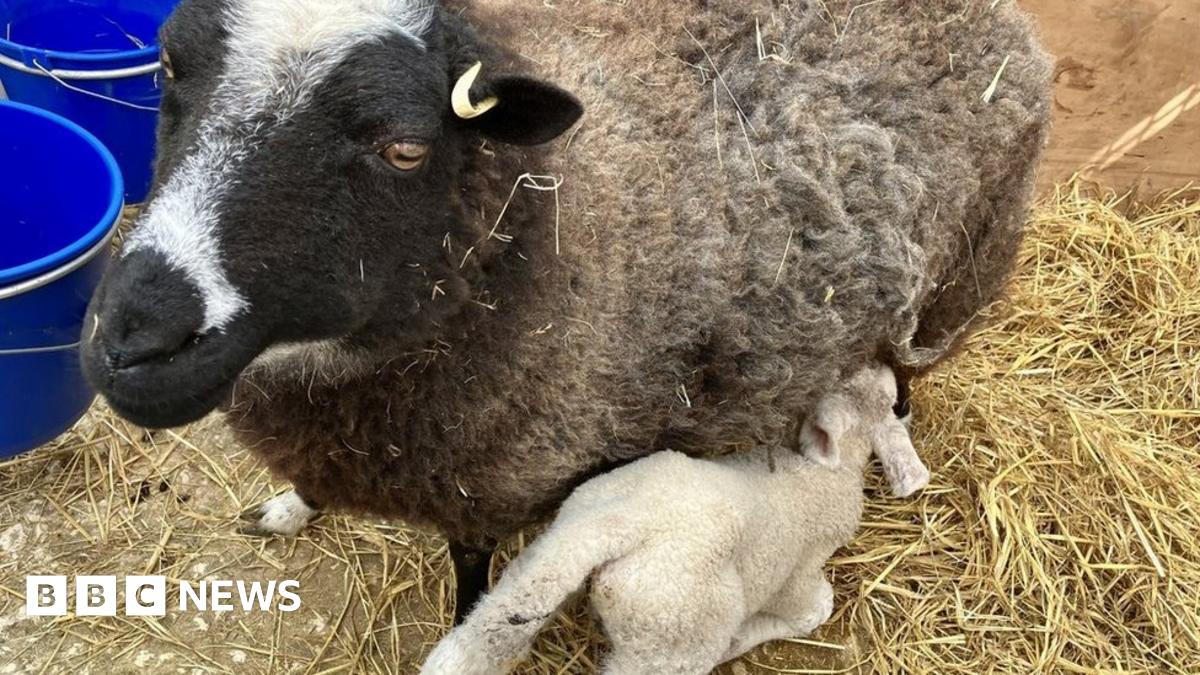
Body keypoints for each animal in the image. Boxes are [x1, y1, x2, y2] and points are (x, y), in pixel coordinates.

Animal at [80, 0, 1052, 620]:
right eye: (169, 65)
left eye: (404, 149)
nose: (133, 338)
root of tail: (1000, 18)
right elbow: (310, 483)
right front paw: (289, 507)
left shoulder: (490, 484)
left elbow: (472, 577)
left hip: (964, 274)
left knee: (907, 366)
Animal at [420, 364, 924, 675]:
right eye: (887, 398)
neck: (824, 473)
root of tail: (622, 528)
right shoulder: (799, 576)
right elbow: (814, 610)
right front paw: (743, 638)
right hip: (670, 640)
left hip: (556, 543)